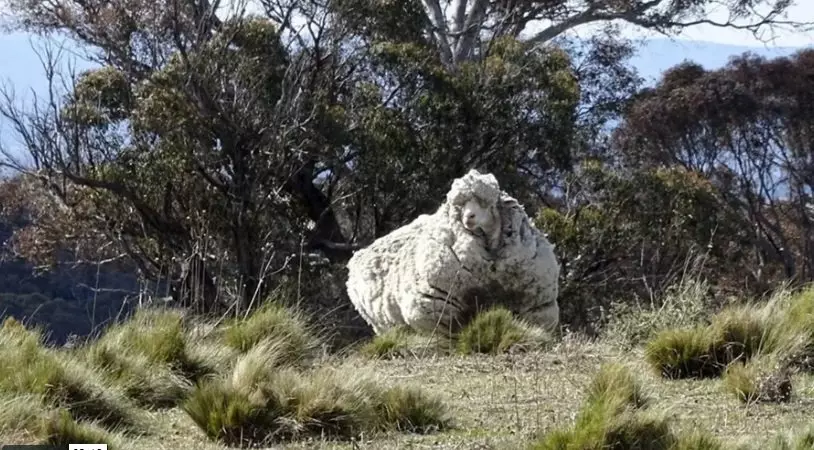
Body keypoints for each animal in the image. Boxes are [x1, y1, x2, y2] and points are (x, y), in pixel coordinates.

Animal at [344, 170, 560, 338]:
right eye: (460, 205)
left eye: (486, 203)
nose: (469, 217)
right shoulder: (436, 309)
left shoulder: (536, 308)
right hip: (383, 323)